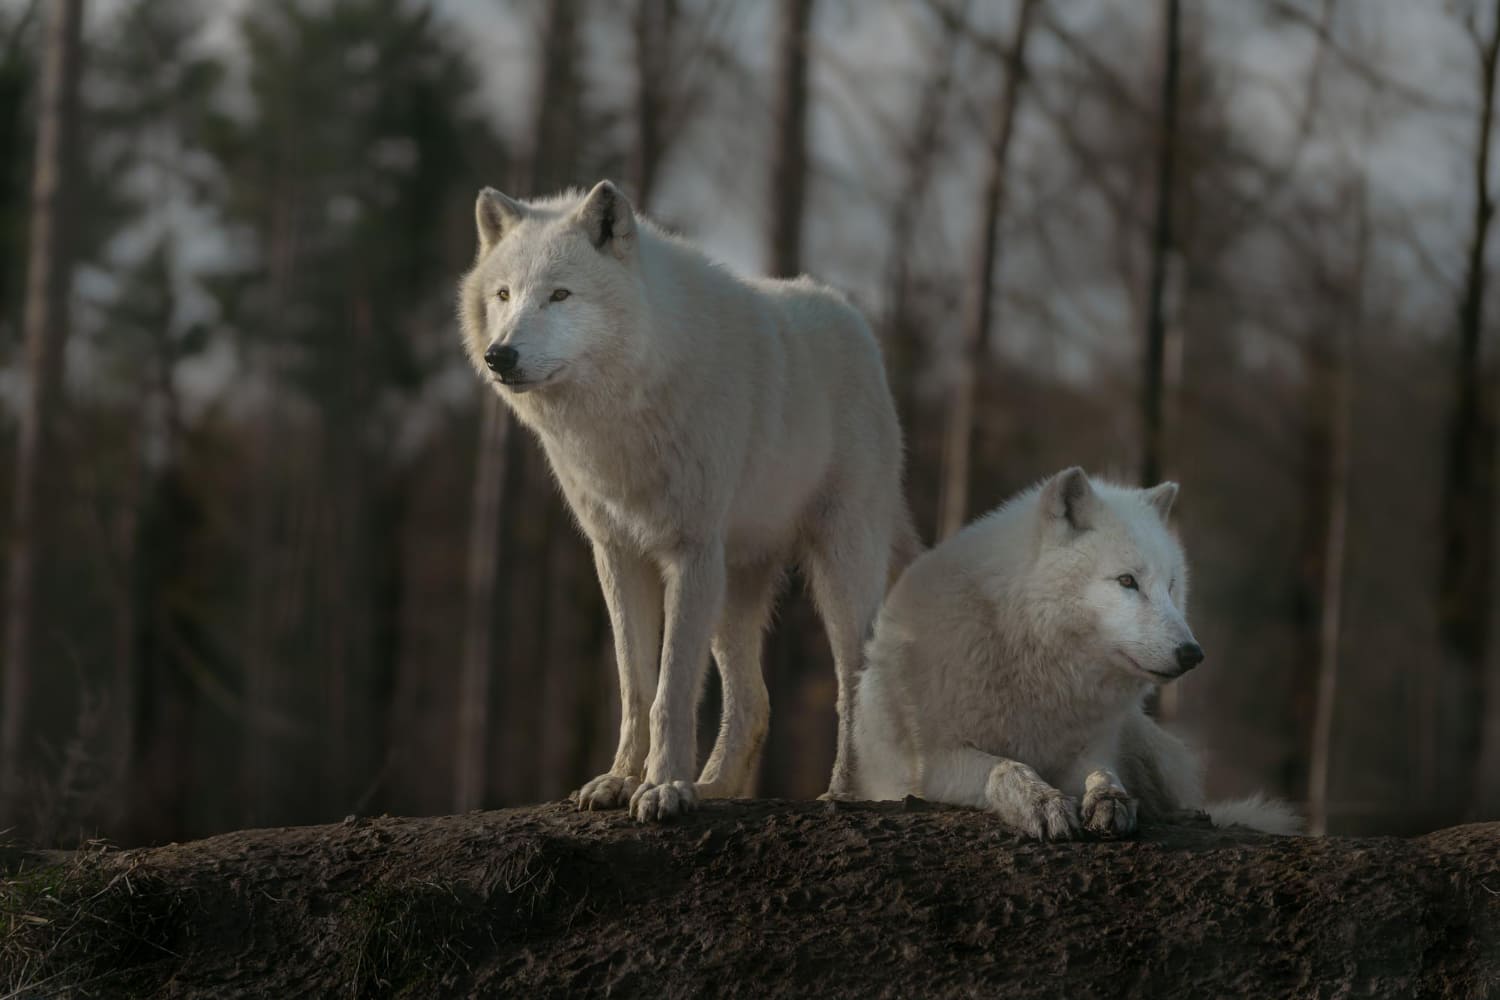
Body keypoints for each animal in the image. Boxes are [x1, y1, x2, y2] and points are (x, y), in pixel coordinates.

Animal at [460, 180, 915, 822]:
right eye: (503, 295)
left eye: (559, 295)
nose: (500, 356)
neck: (626, 408)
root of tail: (853, 318)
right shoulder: (617, 554)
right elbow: (635, 686)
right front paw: (620, 782)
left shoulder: (689, 552)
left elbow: (671, 690)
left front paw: (664, 788)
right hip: (732, 590)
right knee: (754, 702)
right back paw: (716, 786)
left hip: (836, 572)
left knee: (853, 681)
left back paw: (842, 790)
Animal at [852, 467, 1300, 838]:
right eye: (1127, 581)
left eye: (1171, 586)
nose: (1192, 654)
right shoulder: (932, 763)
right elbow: (1004, 767)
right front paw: (1041, 802)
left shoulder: (1088, 749)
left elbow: (1104, 773)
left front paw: (1109, 799)